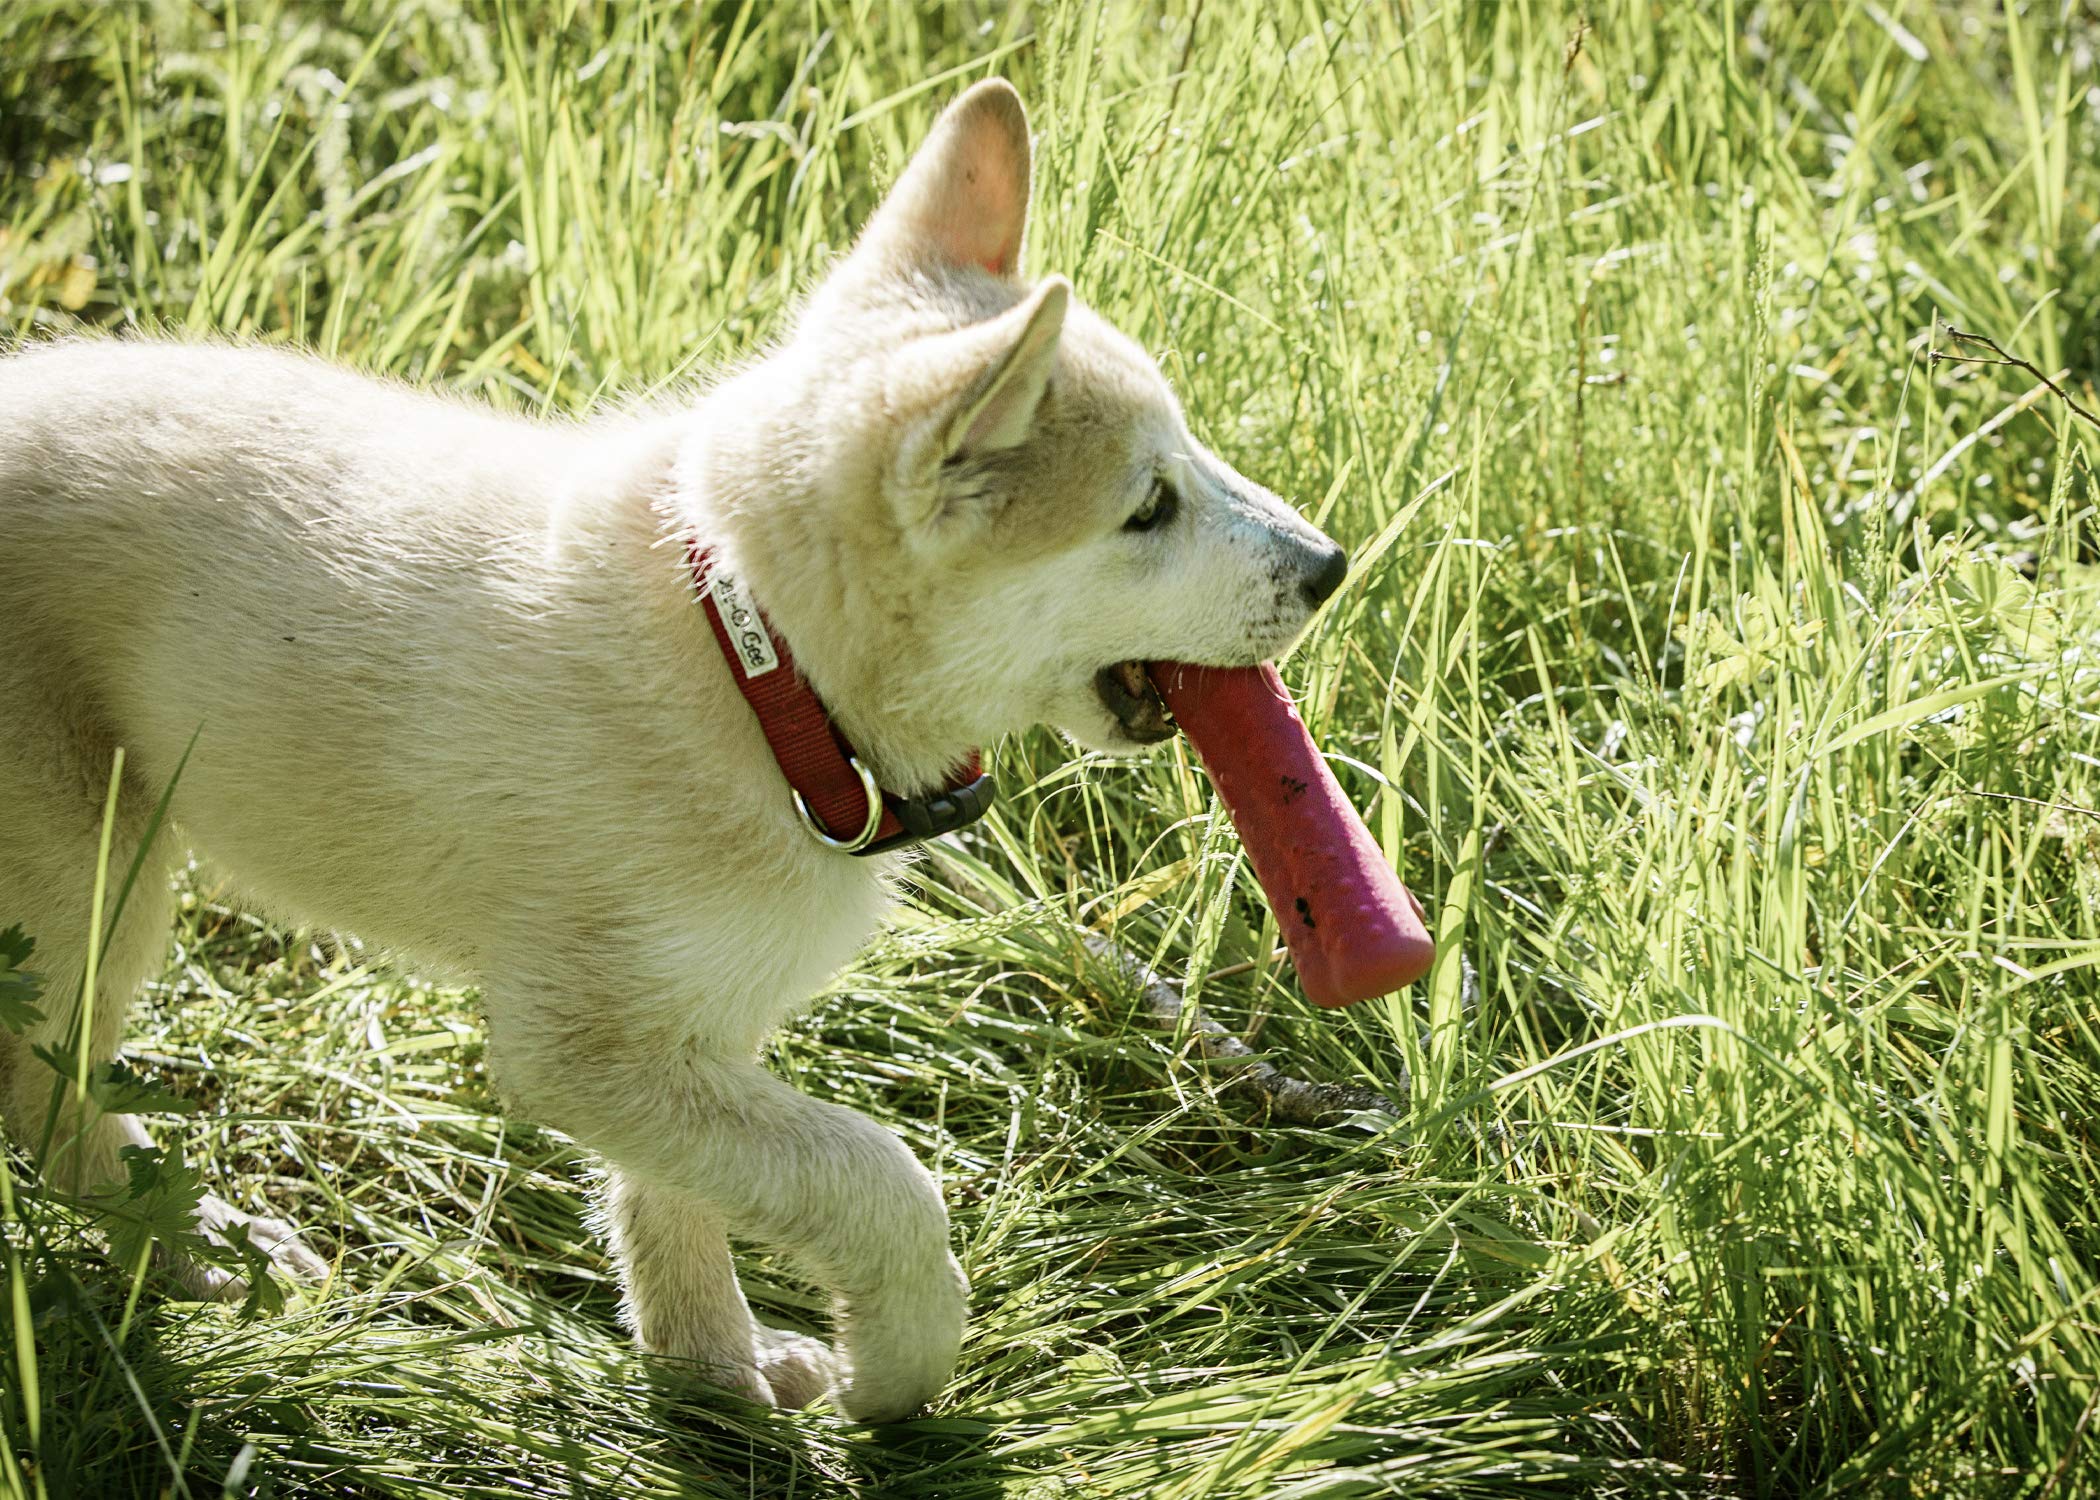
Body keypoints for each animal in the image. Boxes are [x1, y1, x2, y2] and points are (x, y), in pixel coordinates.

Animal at [0, 78, 1344, 1411]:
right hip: (86, 884)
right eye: (1147, 510)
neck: (760, 672)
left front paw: (712, 1366)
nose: (1332, 567)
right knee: (44, 1090)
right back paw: (195, 1242)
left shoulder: (690, 1022)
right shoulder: (577, 1044)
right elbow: (876, 1175)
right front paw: (897, 1362)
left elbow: (690, 1195)